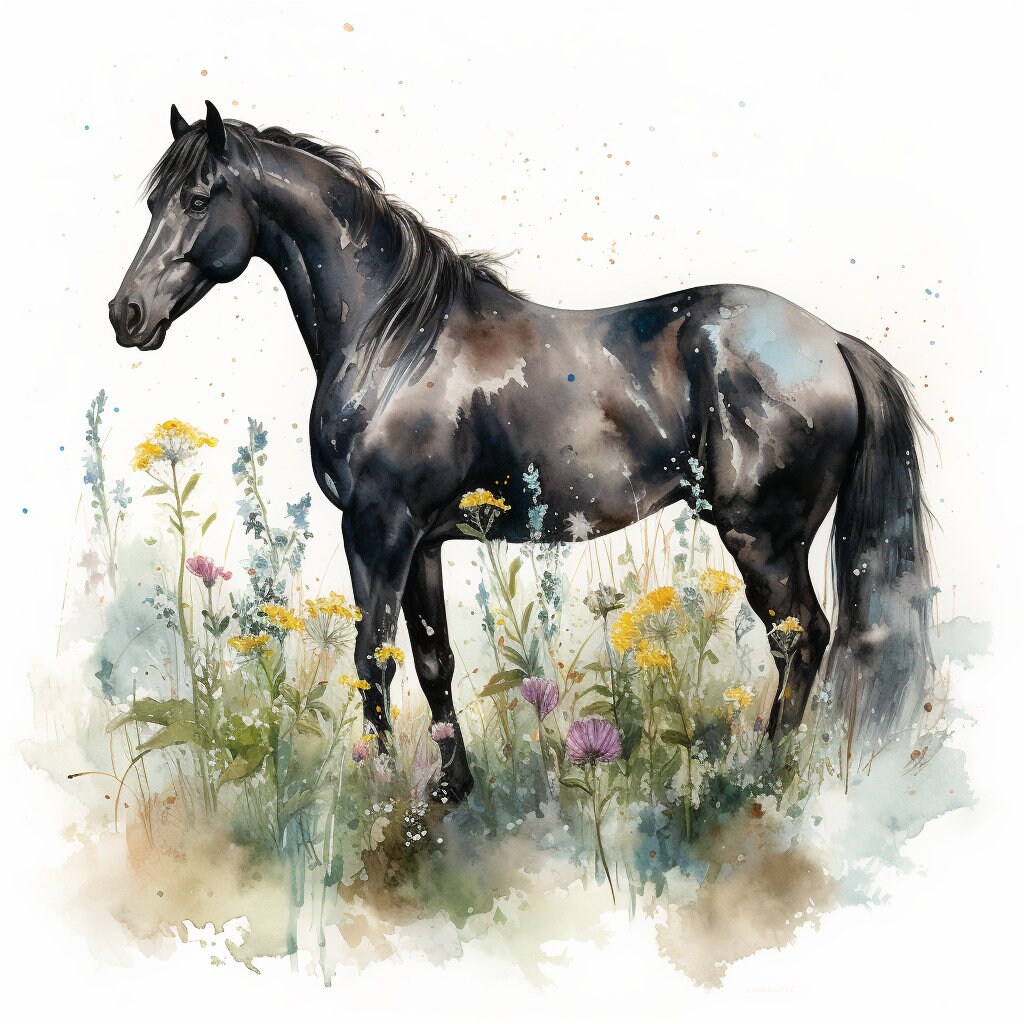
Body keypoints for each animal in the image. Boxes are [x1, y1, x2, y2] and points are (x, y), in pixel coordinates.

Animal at [109, 101, 933, 800]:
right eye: (152, 203)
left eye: (197, 200)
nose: (126, 314)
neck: (396, 339)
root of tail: (831, 341)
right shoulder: (422, 542)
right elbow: (433, 661)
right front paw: (452, 789)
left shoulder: (377, 531)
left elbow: (371, 662)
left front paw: (383, 797)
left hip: (762, 539)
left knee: (802, 642)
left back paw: (766, 776)